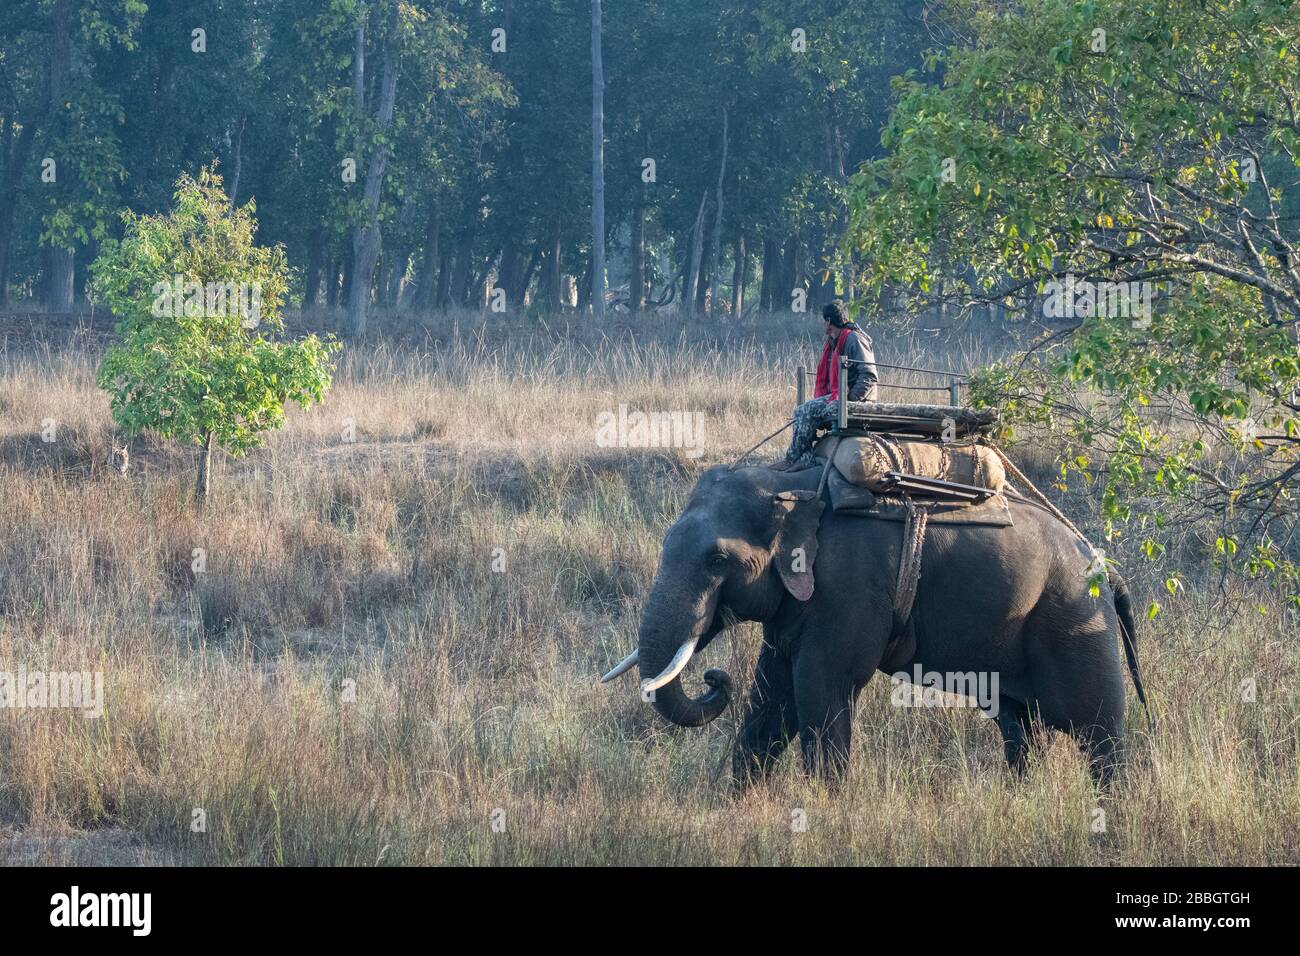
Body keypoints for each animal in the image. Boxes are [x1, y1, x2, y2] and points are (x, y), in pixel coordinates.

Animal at [601, 463, 1148, 787]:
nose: (714, 677)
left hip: (1073, 619)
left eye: (717, 560)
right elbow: (773, 695)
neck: (791, 480)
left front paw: (825, 811)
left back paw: (1111, 817)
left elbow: (821, 685)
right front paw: (741, 802)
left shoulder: (849, 584)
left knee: (1096, 729)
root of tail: (1108, 567)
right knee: (1020, 728)